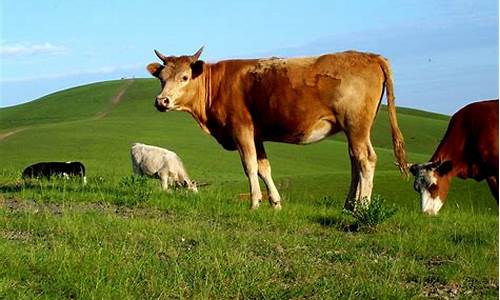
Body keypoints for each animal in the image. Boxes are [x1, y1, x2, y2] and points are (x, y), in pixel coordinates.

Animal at [146, 47, 408, 211]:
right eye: (162, 78)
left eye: (185, 77)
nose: (161, 101)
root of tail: (371, 56)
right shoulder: (257, 135)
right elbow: (264, 168)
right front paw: (275, 203)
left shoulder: (241, 129)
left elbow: (250, 166)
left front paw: (254, 203)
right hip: (353, 129)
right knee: (355, 162)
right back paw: (348, 206)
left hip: (356, 125)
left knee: (366, 160)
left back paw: (362, 207)